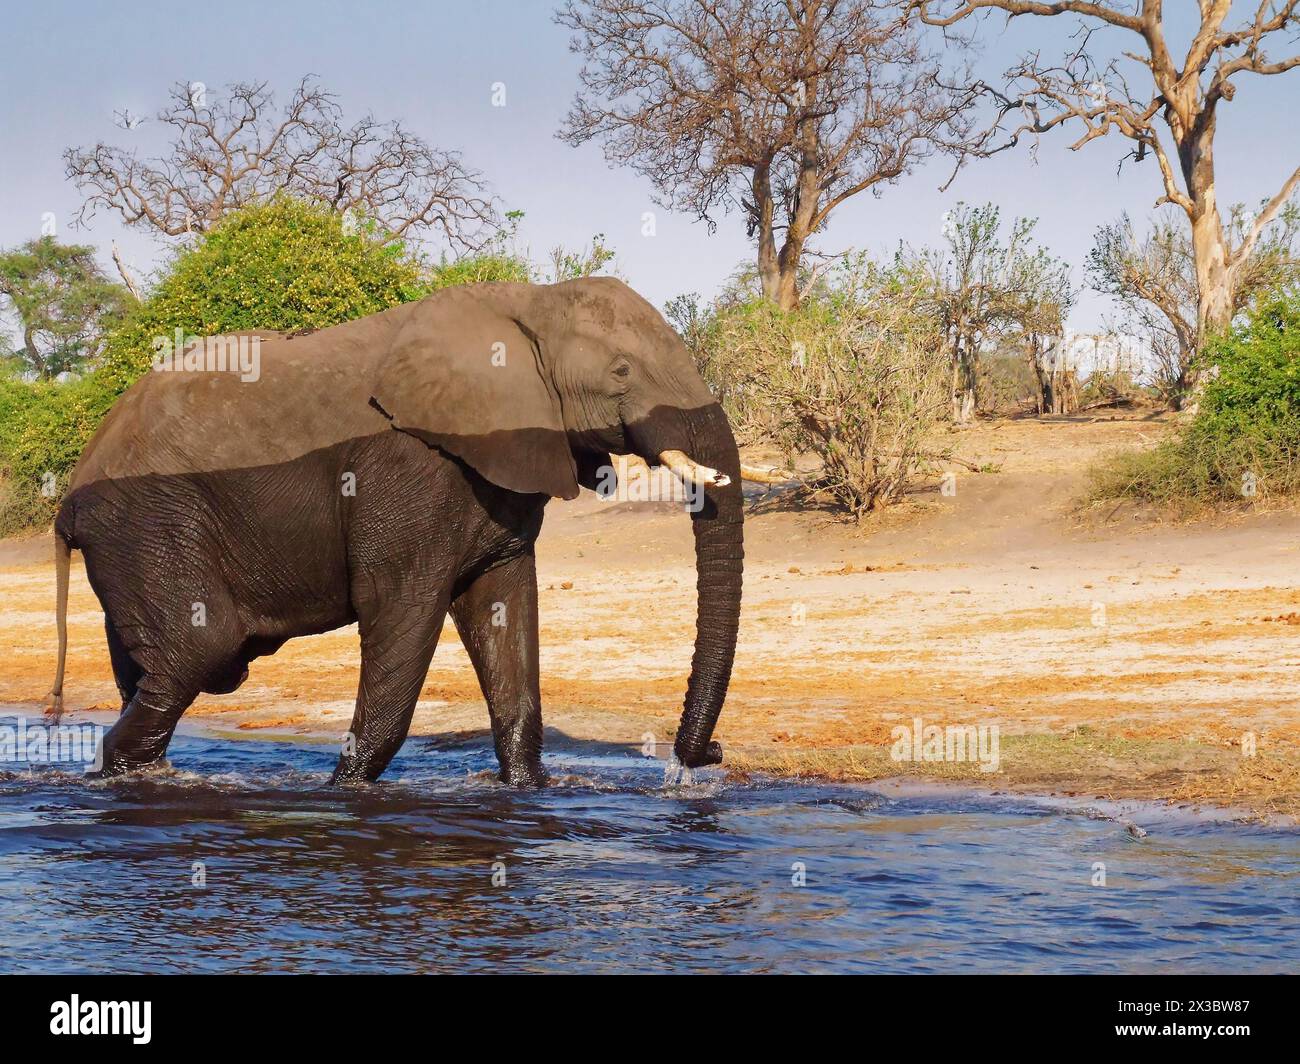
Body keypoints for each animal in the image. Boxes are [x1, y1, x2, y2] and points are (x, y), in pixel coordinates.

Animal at [44, 278, 743, 785]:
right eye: (622, 372)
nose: (703, 758)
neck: (528, 303)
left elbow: (504, 612)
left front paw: (525, 790)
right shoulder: (408, 469)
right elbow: (401, 608)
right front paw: (345, 793)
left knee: (156, 670)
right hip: (145, 521)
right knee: (202, 650)